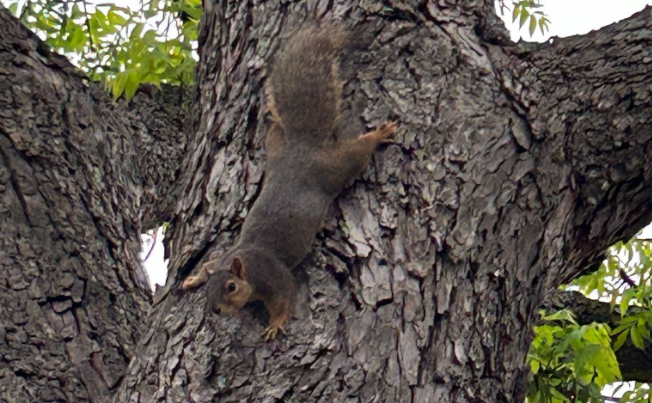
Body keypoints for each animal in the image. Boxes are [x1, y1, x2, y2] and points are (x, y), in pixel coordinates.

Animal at [181, 23, 398, 341]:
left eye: (231, 287)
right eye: (209, 293)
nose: (217, 310)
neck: (246, 264)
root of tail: (301, 145)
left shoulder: (273, 275)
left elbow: (284, 298)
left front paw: (275, 324)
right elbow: (208, 264)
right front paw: (193, 278)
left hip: (333, 167)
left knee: (357, 152)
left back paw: (379, 134)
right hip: (276, 148)